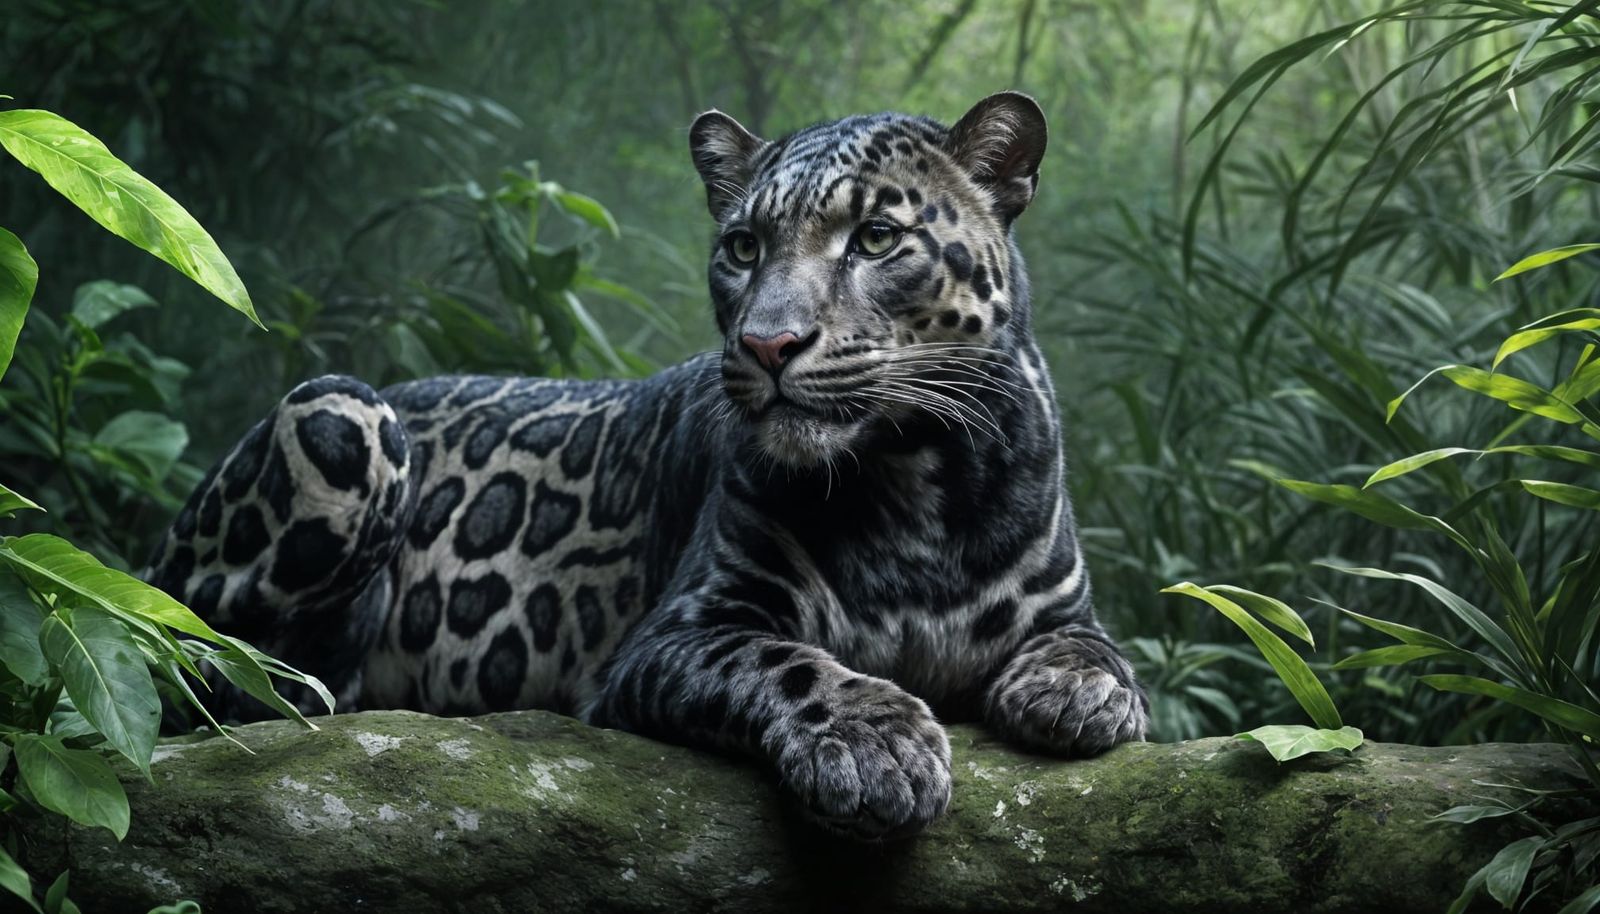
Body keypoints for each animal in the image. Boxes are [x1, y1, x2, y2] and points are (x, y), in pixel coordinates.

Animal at [144, 91, 1149, 840]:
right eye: (742, 248)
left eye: (874, 239)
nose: (768, 344)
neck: (916, 481)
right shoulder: (682, 631)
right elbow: (788, 659)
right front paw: (879, 743)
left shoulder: (1063, 604)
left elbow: (1103, 650)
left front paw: (1078, 692)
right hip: (343, 409)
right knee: (217, 676)